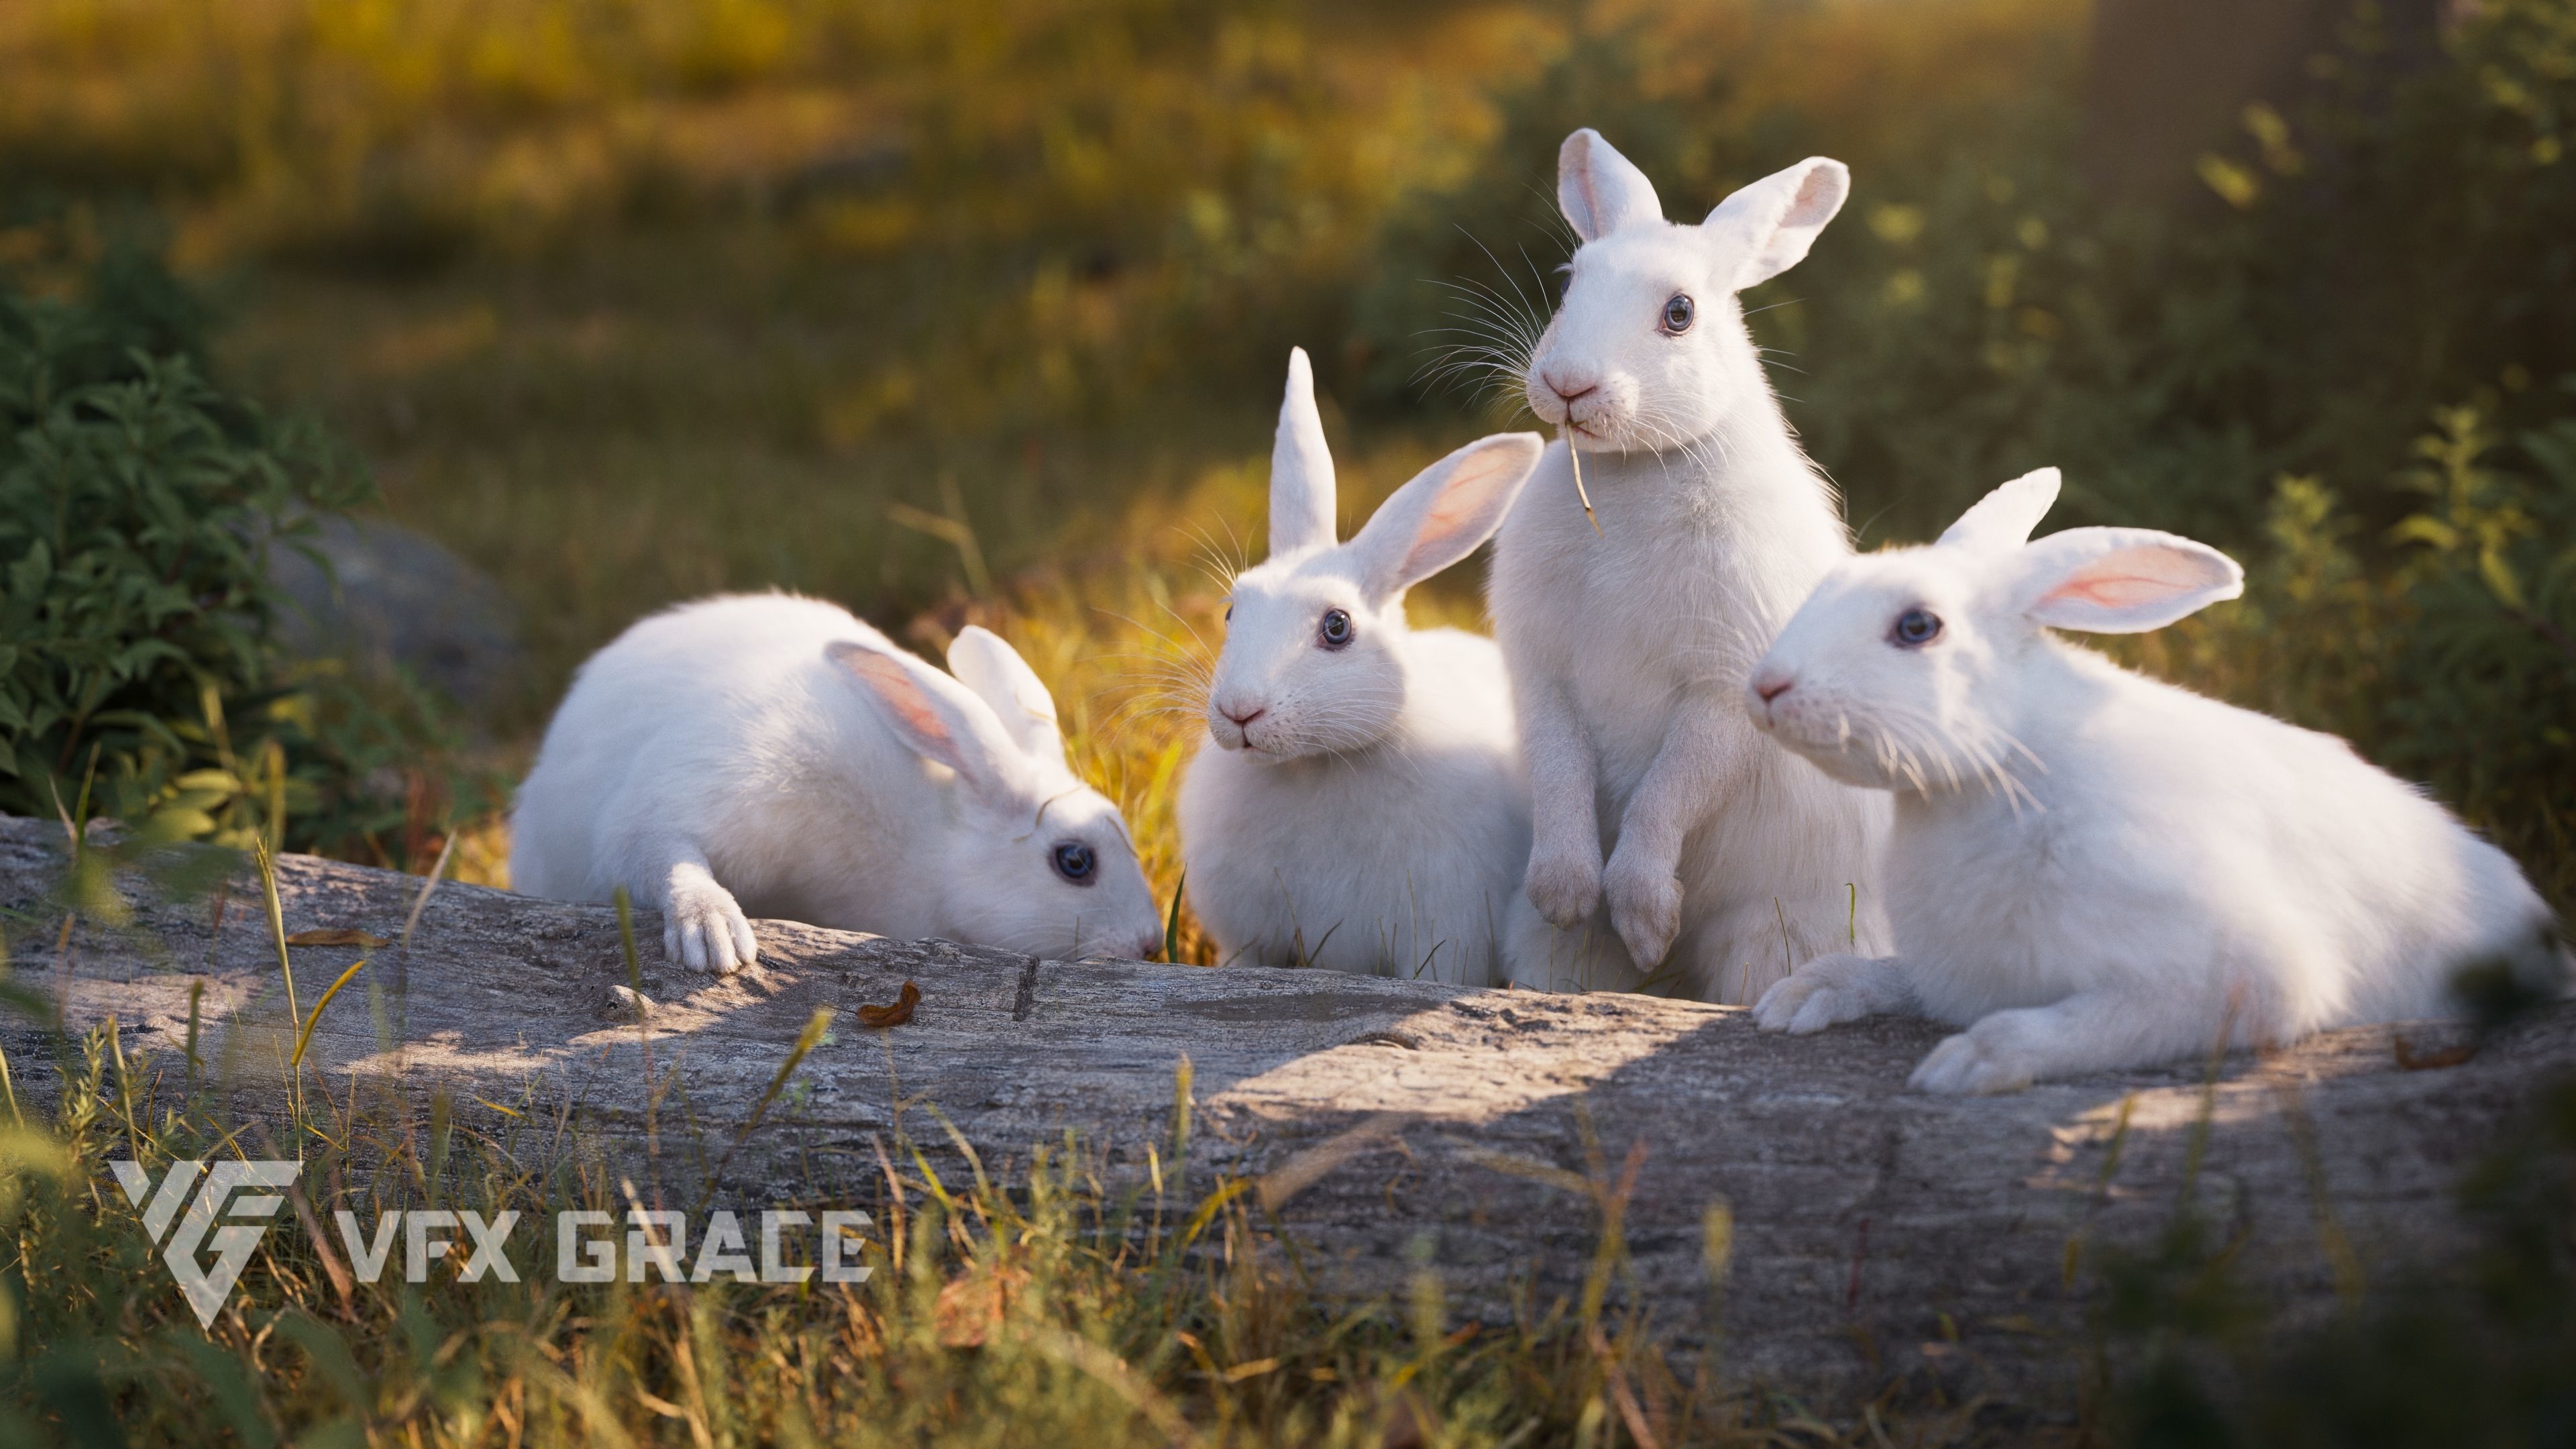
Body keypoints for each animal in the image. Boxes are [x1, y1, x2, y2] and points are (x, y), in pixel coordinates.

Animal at [511, 594, 1164, 972]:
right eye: (1075, 861)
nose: (1151, 945)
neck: (923, 848)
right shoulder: (685, 794)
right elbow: (663, 856)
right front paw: (714, 934)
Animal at [1176, 347, 1544, 984]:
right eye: (1231, 610)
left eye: (1337, 627)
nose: (1240, 711)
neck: (1315, 767)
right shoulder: (1250, 939)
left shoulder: (1446, 935)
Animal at [1489, 127, 1891, 999]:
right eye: (1570, 284)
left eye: (1680, 314)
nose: (1567, 384)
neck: (1634, 470)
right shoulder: (1544, 673)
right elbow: (1562, 772)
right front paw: (1567, 895)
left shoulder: (1722, 690)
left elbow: (1669, 794)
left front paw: (1645, 920)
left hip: (1778, 933)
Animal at [1746, 467, 2568, 1092]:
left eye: (1918, 627)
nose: (1766, 687)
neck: (2008, 769)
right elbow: (1888, 974)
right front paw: (1801, 996)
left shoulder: (2225, 975)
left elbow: (2073, 1025)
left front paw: (1965, 1065)